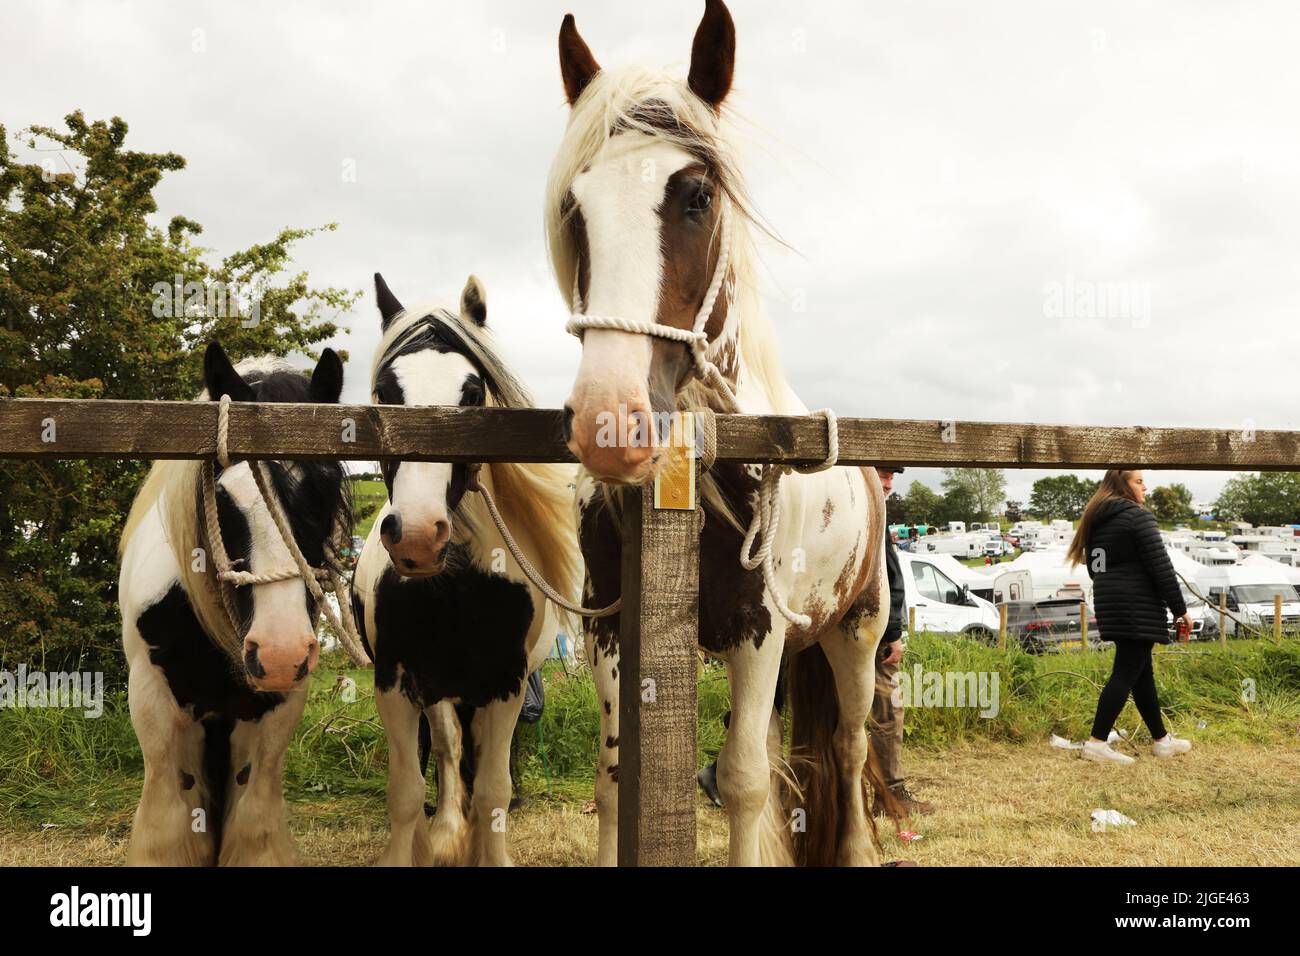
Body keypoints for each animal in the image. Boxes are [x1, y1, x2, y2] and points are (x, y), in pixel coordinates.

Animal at [117, 343, 351, 865]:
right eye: (223, 495)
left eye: (326, 485)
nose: (281, 653)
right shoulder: (154, 700)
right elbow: (169, 827)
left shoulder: (274, 708)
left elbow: (253, 825)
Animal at [351, 273, 581, 866]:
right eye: (385, 392)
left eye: (473, 394)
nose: (415, 535)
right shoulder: (397, 683)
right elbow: (408, 790)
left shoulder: (504, 687)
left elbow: (495, 790)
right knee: (450, 750)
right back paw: (447, 830)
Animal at [547, 0, 895, 866]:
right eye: (575, 205)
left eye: (696, 195)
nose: (609, 420)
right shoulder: (609, 625)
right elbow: (614, 780)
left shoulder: (756, 629)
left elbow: (741, 783)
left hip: (858, 632)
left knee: (849, 748)